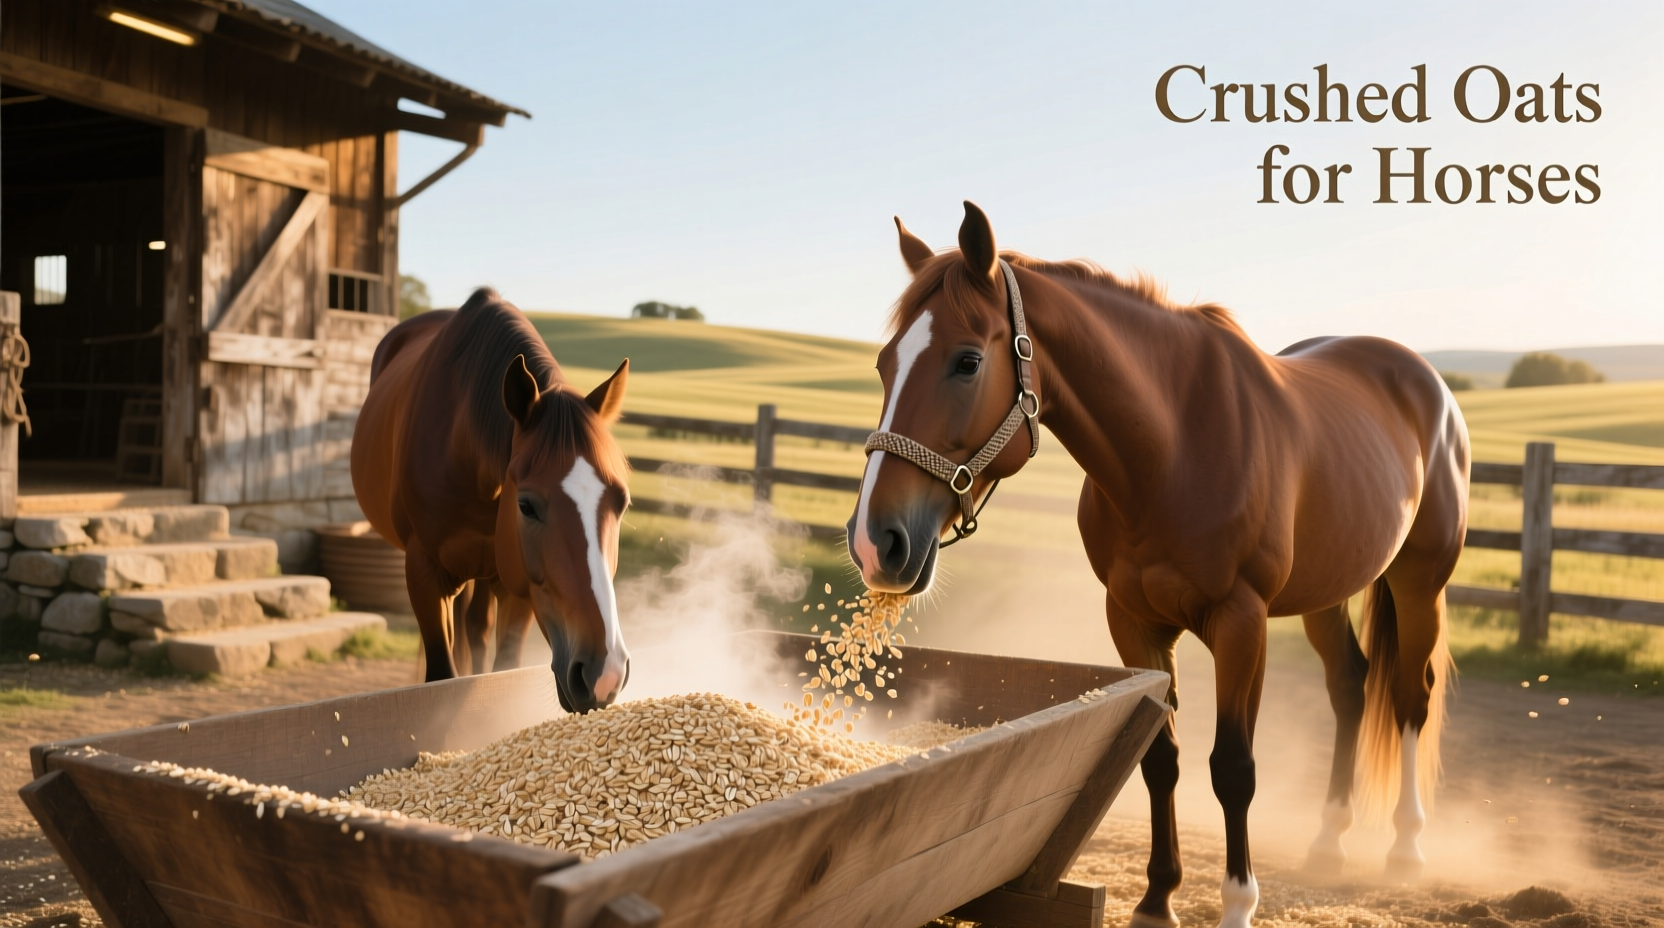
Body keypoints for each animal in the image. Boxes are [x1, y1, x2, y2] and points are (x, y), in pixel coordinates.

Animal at [352, 288, 633, 713]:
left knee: (477, 630)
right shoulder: (424, 573)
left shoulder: (518, 586)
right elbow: (442, 673)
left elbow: (502, 667)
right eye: (526, 506)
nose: (604, 674)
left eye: (621, 503)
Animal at [849, 203, 1466, 928]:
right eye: (885, 364)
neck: (1173, 451)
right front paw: (1156, 900)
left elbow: (1232, 767)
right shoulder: (1132, 620)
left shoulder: (1241, 623)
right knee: (1350, 686)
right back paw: (1328, 842)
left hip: (1420, 583)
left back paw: (1406, 847)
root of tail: (1424, 382)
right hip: (1327, 592)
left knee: (1408, 695)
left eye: (967, 361)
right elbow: (1161, 758)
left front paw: (1237, 905)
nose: (874, 542)